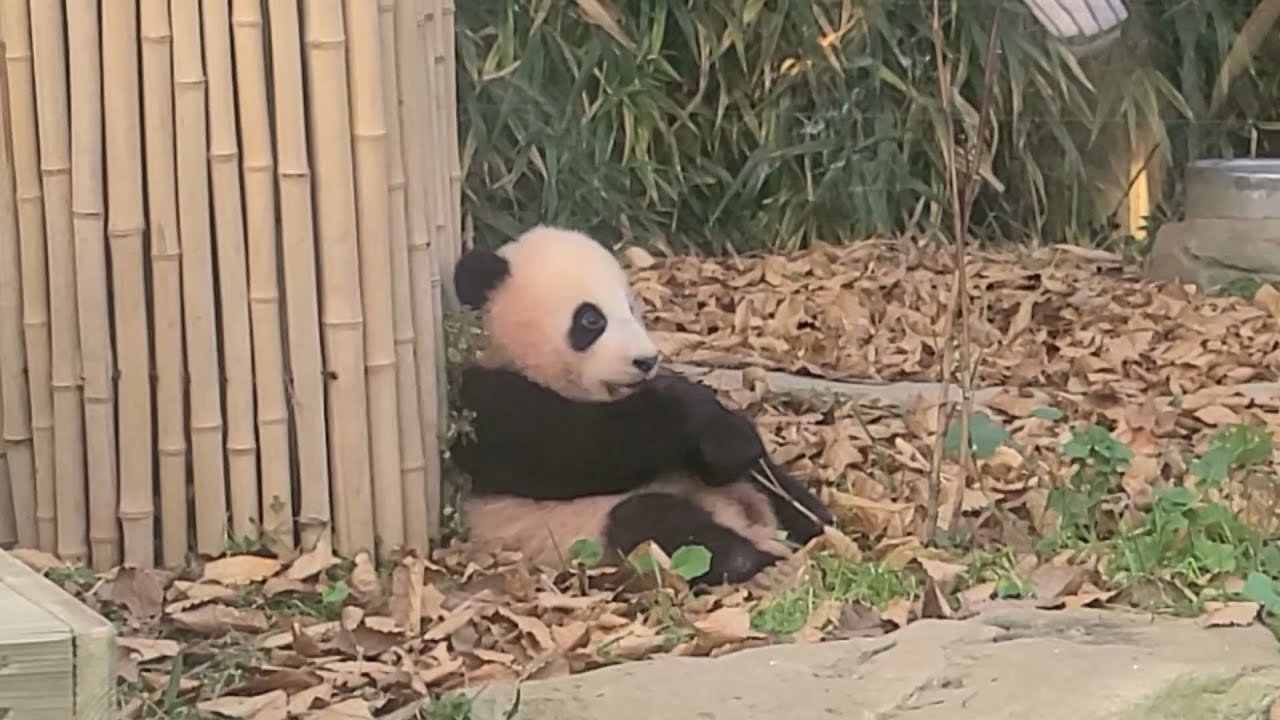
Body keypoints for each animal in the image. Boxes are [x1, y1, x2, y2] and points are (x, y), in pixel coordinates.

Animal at [447, 225, 835, 586]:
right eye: (591, 319)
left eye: (632, 308)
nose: (647, 361)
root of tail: (752, 521)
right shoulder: (485, 407)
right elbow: (579, 450)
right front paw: (687, 406)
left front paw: (728, 437)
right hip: (584, 529)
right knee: (655, 523)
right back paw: (756, 561)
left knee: (774, 485)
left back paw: (821, 527)